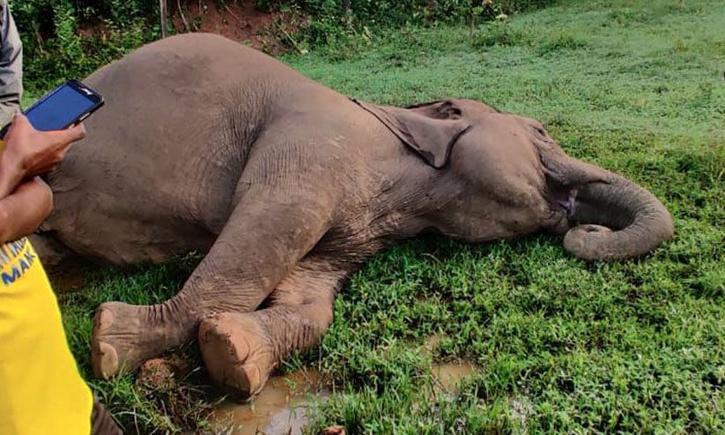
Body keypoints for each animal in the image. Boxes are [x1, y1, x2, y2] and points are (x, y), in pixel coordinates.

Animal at [33, 33, 673, 399]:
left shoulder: (361, 225)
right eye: (540, 132)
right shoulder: (313, 147)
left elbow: (310, 294)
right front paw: (110, 344)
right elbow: (260, 240)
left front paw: (233, 355)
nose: (585, 226)